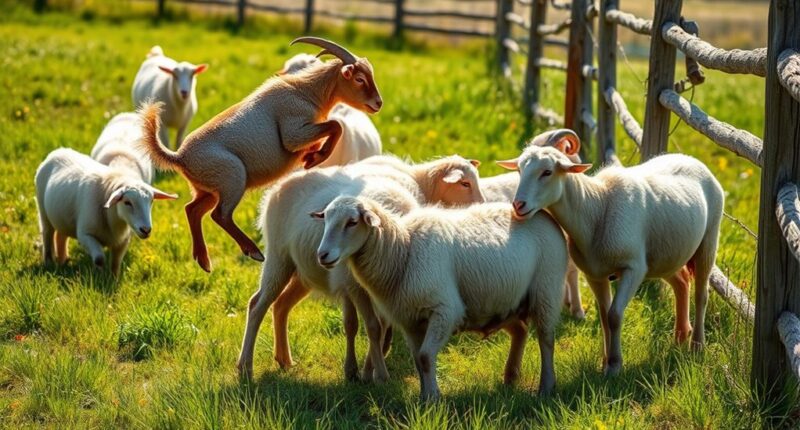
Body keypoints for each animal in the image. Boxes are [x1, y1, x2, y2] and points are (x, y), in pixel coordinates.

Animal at [34, 148, 177, 276]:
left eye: (151, 201)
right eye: (127, 202)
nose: (146, 230)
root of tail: (57, 151)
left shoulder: (122, 242)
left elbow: (116, 263)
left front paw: (112, 279)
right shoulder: (85, 235)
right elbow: (99, 258)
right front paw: (99, 276)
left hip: (62, 217)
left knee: (61, 235)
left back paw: (63, 260)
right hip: (43, 210)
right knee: (47, 234)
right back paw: (49, 262)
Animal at [138, 37, 383, 272]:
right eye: (359, 79)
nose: (378, 103)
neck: (305, 91)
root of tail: (179, 157)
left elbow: (332, 128)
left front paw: (311, 155)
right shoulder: (293, 133)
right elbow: (334, 126)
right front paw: (315, 157)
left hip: (208, 190)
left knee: (193, 209)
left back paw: (204, 261)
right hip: (233, 179)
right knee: (220, 215)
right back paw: (253, 251)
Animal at [239, 155, 486, 382]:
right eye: (465, 183)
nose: (482, 207)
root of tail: (277, 188)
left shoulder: (378, 286)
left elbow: (376, 326)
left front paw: (368, 369)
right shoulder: (350, 283)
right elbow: (361, 325)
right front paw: (366, 372)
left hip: (305, 270)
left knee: (281, 305)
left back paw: (284, 360)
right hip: (279, 257)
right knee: (257, 305)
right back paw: (245, 367)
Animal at [315, 196, 568, 400]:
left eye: (352, 222)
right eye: (325, 219)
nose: (322, 255)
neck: (403, 250)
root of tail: (544, 215)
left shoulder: (444, 310)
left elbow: (426, 357)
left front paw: (434, 397)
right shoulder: (409, 320)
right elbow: (418, 360)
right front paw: (424, 397)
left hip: (546, 289)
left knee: (546, 338)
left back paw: (546, 387)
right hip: (505, 302)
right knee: (521, 331)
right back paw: (510, 378)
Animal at [498, 129, 723, 376]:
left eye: (547, 172)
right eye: (520, 170)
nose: (518, 205)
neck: (596, 207)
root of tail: (690, 158)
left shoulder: (634, 268)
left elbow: (614, 315)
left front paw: (615, 365)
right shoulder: (594, 274)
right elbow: (605, 317)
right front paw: (605, 362)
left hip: (708, 239)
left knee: (701, 294)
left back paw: (697, 345)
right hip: (666, 255)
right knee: (682, 282)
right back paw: (681, 336)